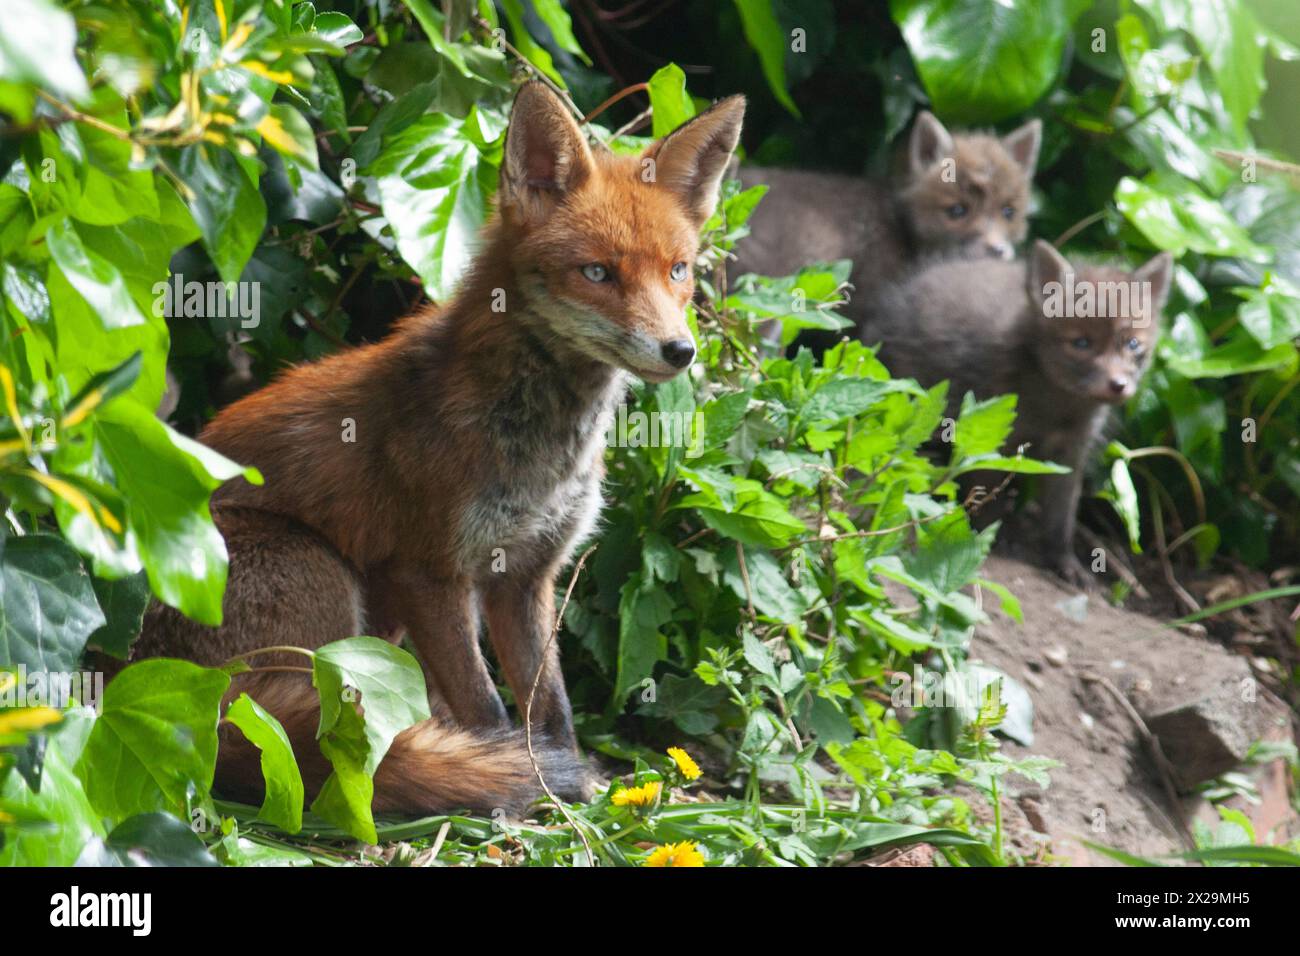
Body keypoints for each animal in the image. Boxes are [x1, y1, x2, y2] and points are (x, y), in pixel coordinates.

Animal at [126, 82, 746, 816]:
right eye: (597, 272)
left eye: (678, 271)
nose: (680, 351)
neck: (540, 450)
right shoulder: (430, 570)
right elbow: (488, 711)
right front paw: (523, 791)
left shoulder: (526, 576)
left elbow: (549, 706)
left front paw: (564, 787)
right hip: (321, 581)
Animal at [869, 239, 1173, 588]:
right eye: (1081, 343)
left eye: (1133, 344)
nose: (1118, 385)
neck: (1055, 405)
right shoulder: (991, 440)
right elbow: (985, 496)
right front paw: (981, 539)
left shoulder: (1071, 450)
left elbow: (1061, 517)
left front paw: (1064, 562)